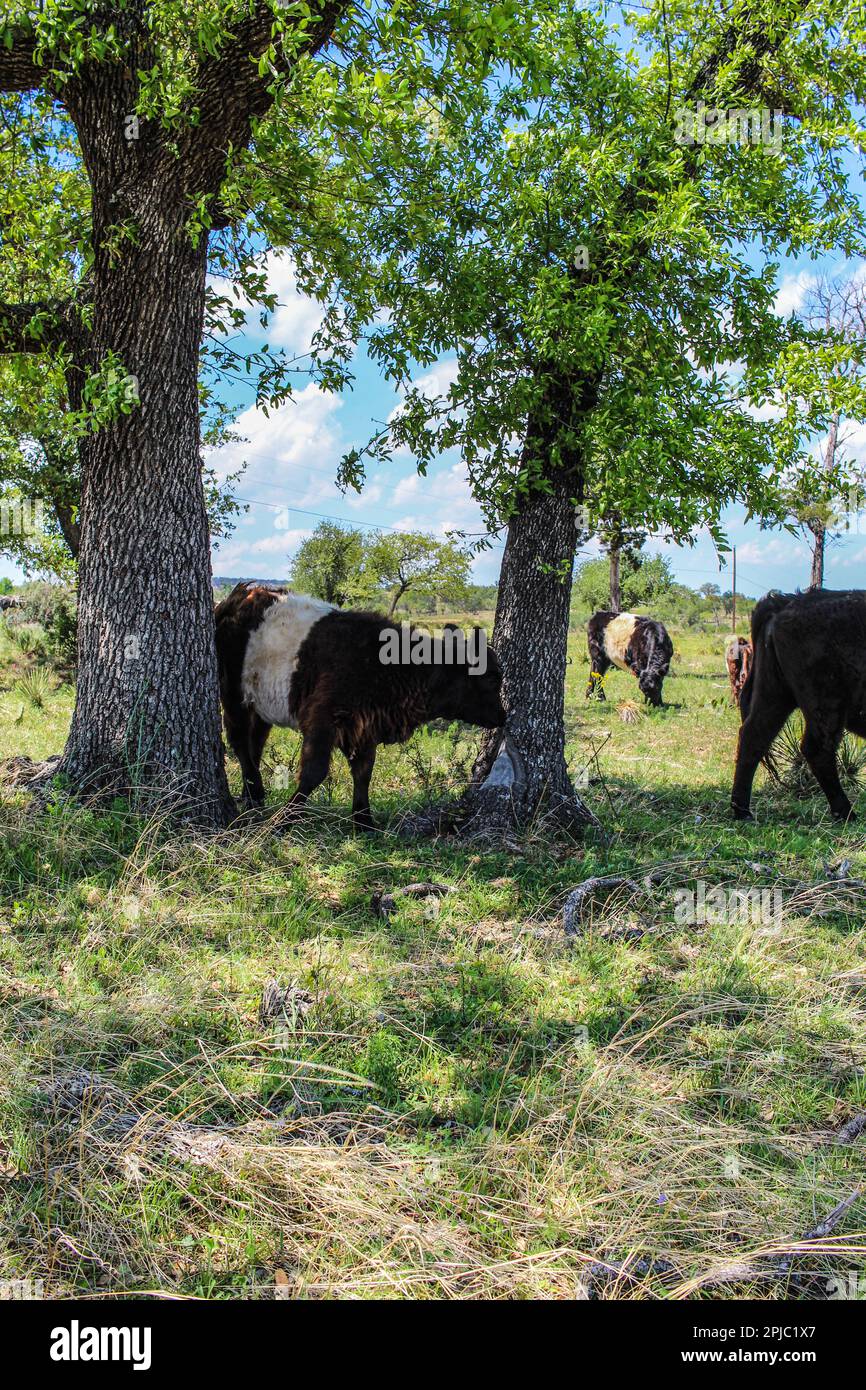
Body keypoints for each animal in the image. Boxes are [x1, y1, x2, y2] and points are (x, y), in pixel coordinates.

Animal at [214, 582, 505, 829]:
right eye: (491, 678)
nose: (503, 716)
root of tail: (241, 594)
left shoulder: (365, 727)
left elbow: (364, 772)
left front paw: (364, 820)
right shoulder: (323, 719)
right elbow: (314, 772)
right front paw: (284, 819)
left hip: (259, 706)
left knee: (255, 744)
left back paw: (252, 796)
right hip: (233, 694)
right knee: (239, 740)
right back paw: (255, 792)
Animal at [732, 588, 866, 822]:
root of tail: (786, 603)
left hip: (774, 694)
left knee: (753, 736)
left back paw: (742, 811)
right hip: (826, 704)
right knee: (817, 749)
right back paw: (846, 813)